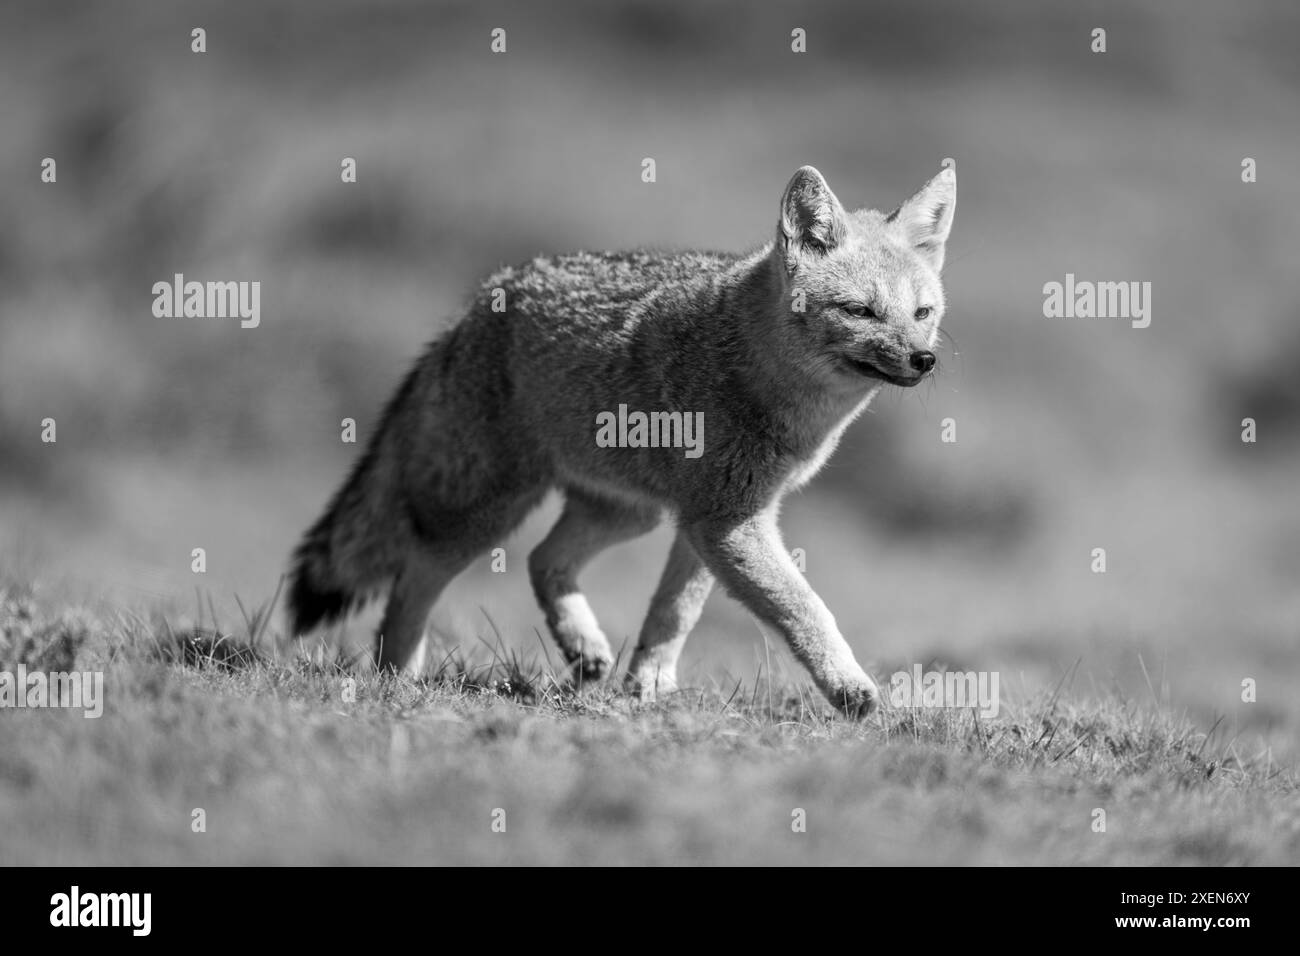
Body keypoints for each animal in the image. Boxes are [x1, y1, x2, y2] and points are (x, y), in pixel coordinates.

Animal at [287, 162, 956, 716]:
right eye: (862, 311)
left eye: (922, 313)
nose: (924, 360)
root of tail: (473, 305)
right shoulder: (727, 522)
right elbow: (805, 607)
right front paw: (850, 687)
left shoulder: (711, 522)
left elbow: (674, 613)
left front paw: (648, 689)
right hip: (484, 516)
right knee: (413, 578)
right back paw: (396, 678)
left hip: (628, 513)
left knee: (541, 559)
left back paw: (582, 648)